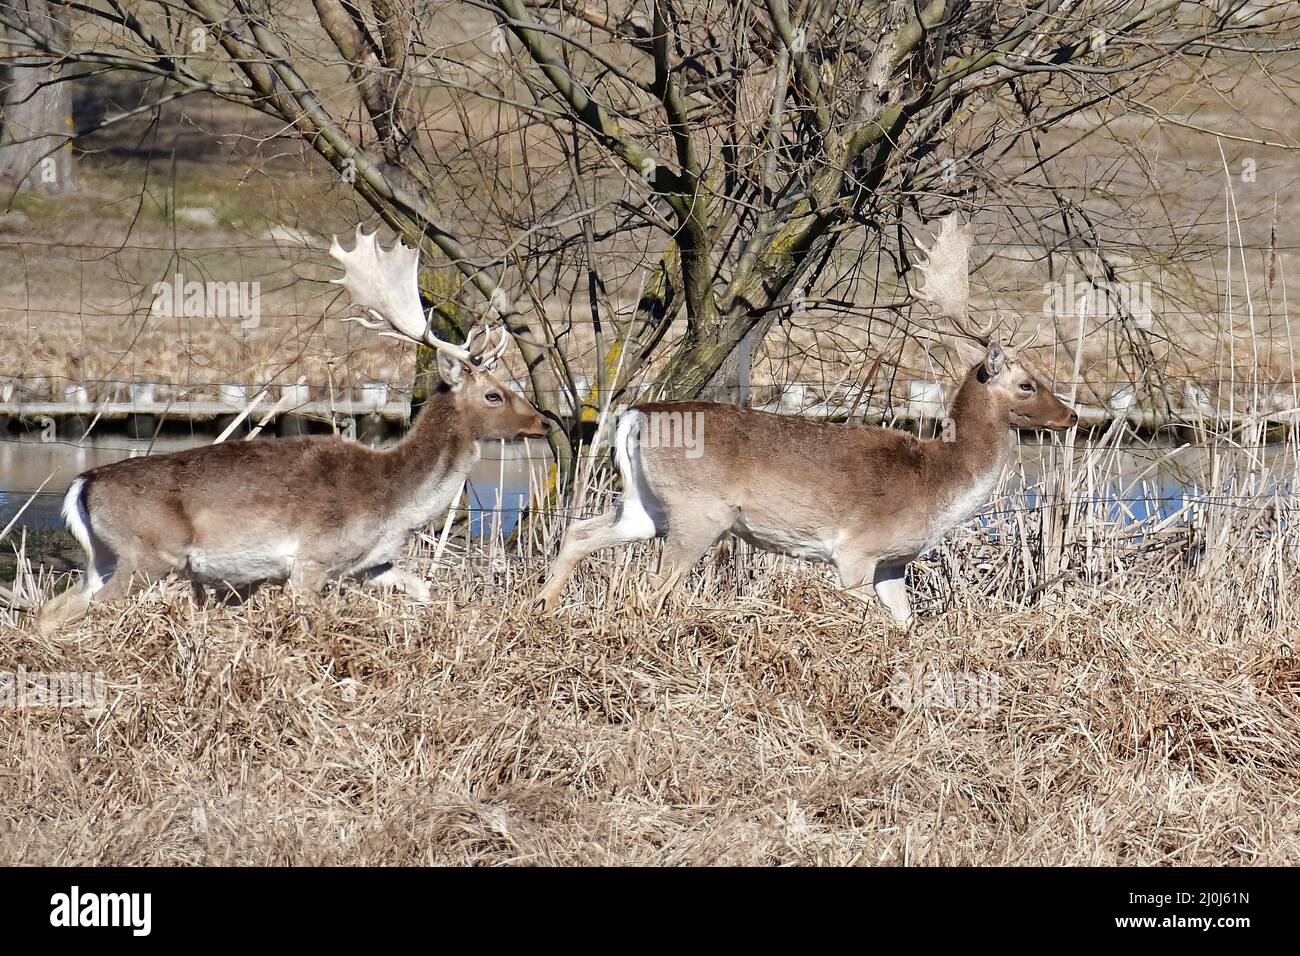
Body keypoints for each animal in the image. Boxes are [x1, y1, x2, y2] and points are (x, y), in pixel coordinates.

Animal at [37, 227, 548, 636]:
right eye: (494, 395)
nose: (542, 420)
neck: (394, 502)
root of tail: (83, 482)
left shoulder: (369, 564)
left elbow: (422, 590)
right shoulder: (312, 558)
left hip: (102, 559)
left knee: (53, 609)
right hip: (146, 554)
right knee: (92, 609)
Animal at [534, 216, 1078, 627]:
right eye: (1027, 384)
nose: (1071, 414)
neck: (939, 483)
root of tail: (634, 414)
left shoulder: (894, 563)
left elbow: (906, 625)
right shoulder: (856, 552)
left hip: (647, 506)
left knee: (580, 532)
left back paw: (540, 609)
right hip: (698, 511)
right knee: (650, 589)